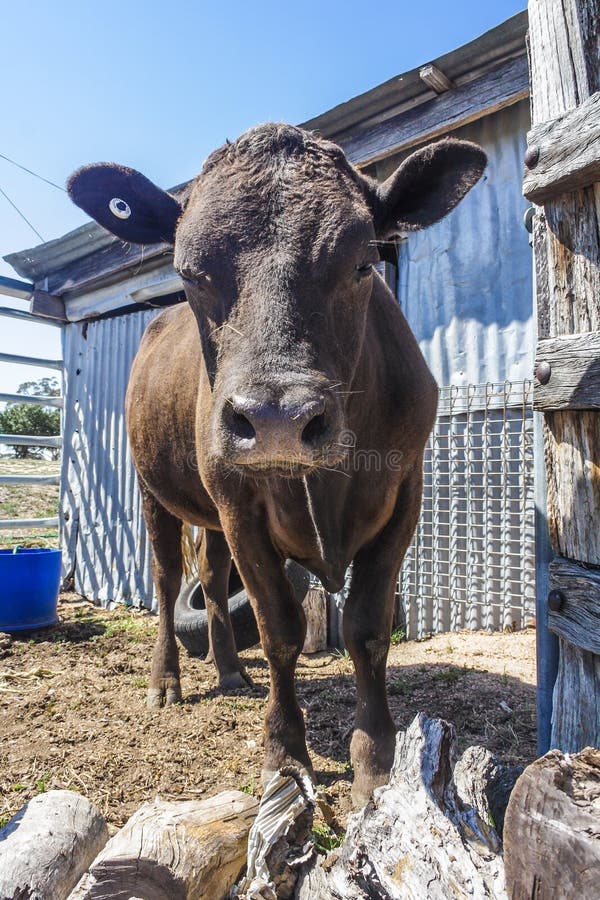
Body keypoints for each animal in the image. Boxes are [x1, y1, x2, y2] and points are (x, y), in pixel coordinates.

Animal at [68, 124, 485, 805]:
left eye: (363, 262)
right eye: (189, 272)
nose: (276, 419)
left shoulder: (404, 496)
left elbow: (367, 629)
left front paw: (376, 760)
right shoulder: (242, 509)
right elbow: (280, 629)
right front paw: (285, 754)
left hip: (212, 513)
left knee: (212, 582)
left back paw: (231, 672)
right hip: (157, 492)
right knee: (167, 583)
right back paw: (166, 681)